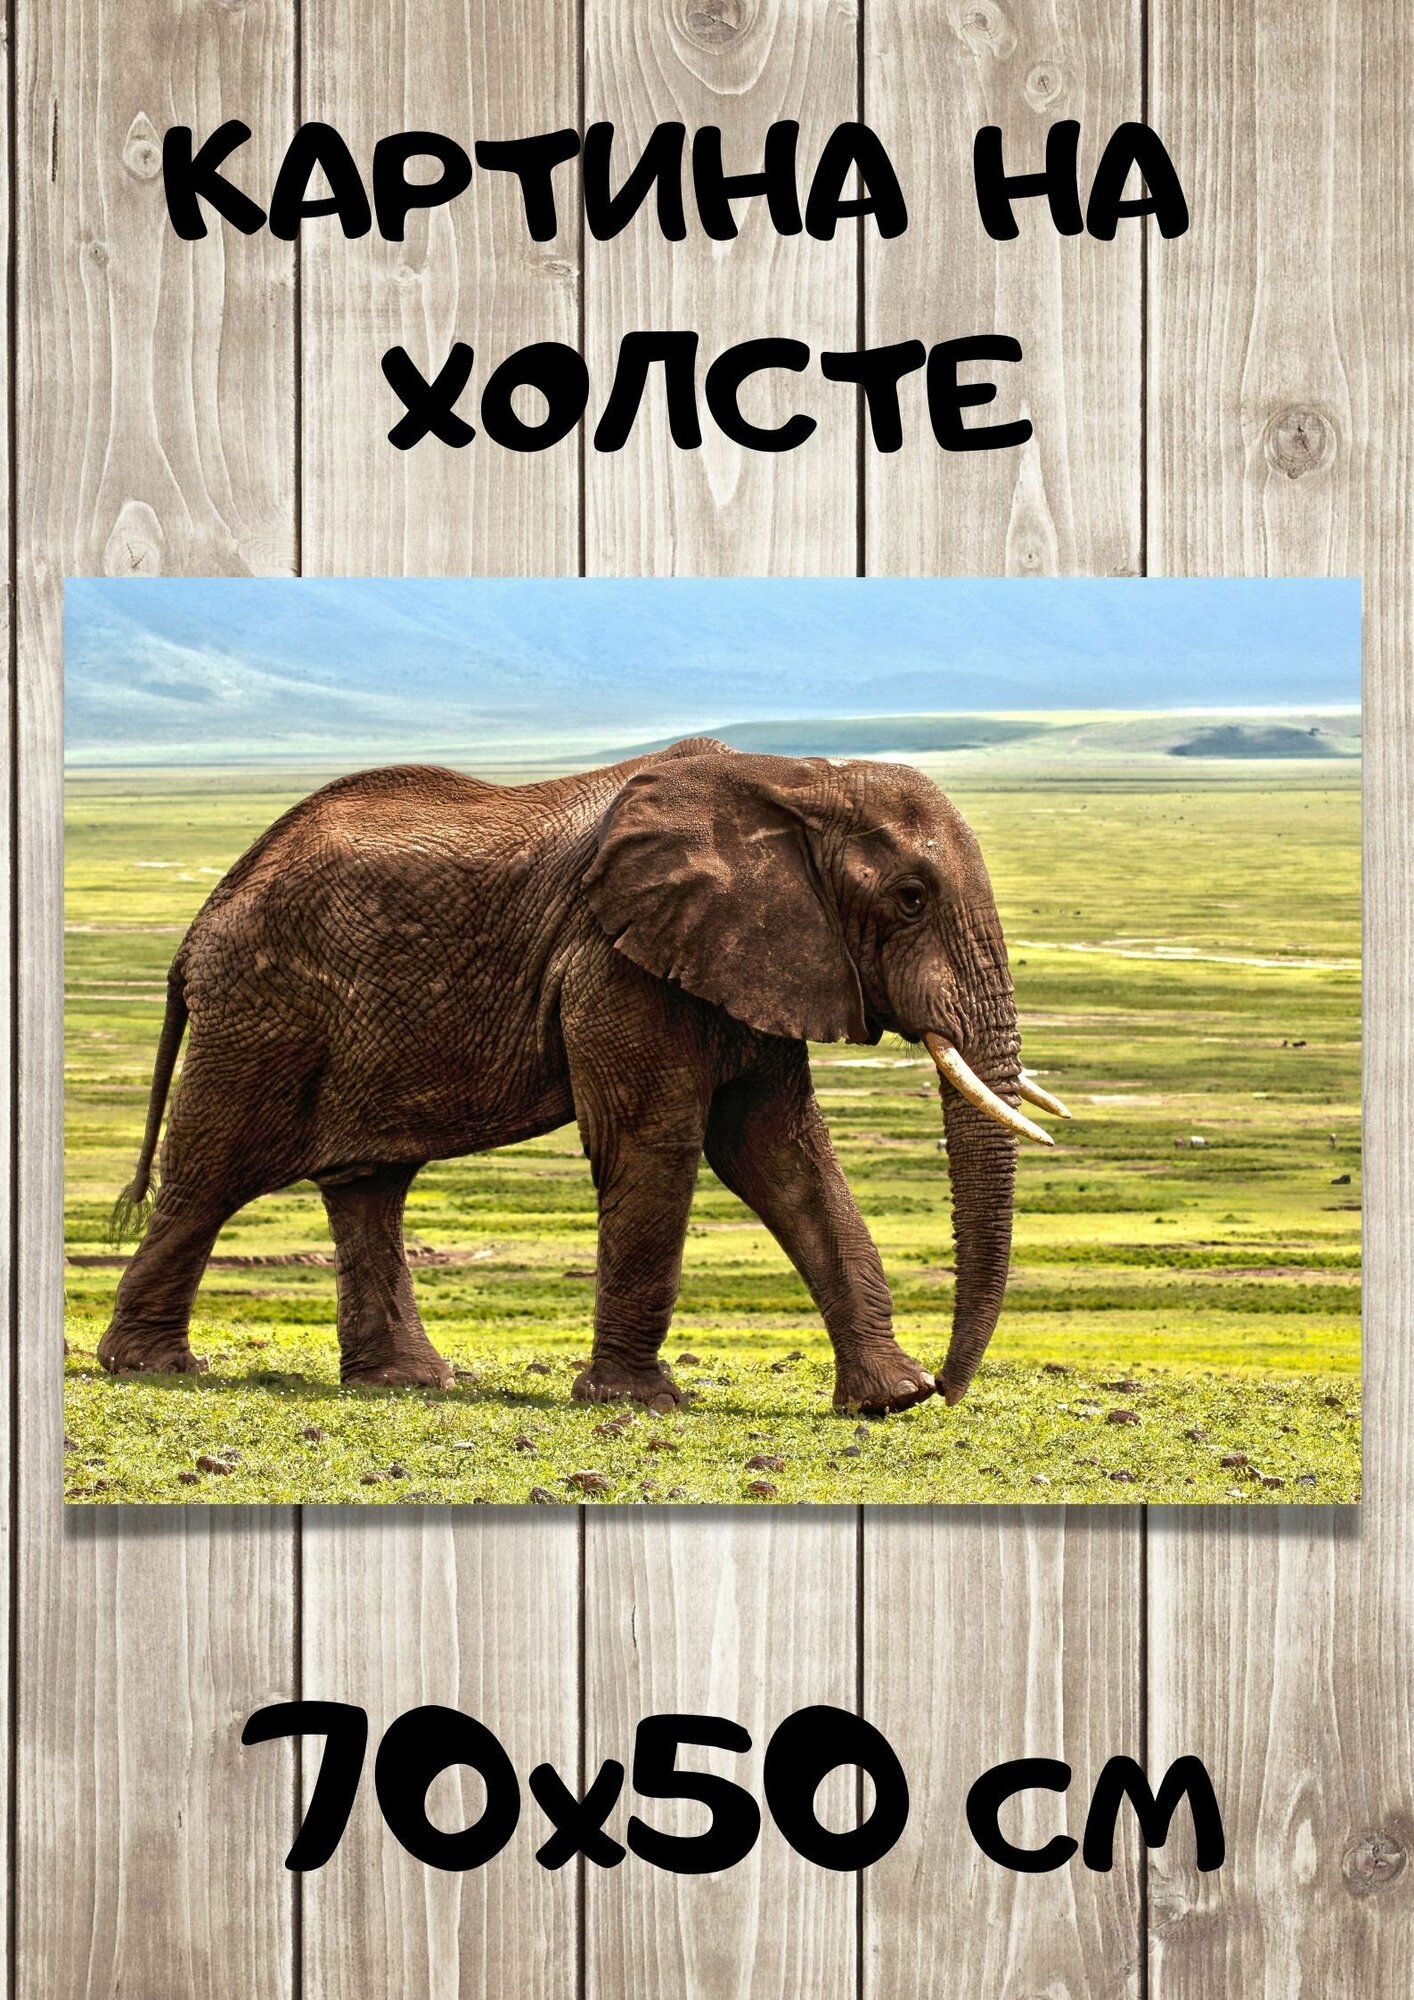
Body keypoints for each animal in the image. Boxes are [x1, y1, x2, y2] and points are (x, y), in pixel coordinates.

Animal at [98, 738, 1069, 1414]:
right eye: (910, 899)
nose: (950, 1389)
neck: (795, 778)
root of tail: (201, 920)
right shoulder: (616, 961)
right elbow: (657, 1144)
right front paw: (642, 1405)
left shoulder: (753, 958)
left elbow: (781, 1154)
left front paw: (888, 1402)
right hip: (261, 1010)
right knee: (211, 1174)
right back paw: (151, 1369)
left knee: (368, 1185)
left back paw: (406, 1384)